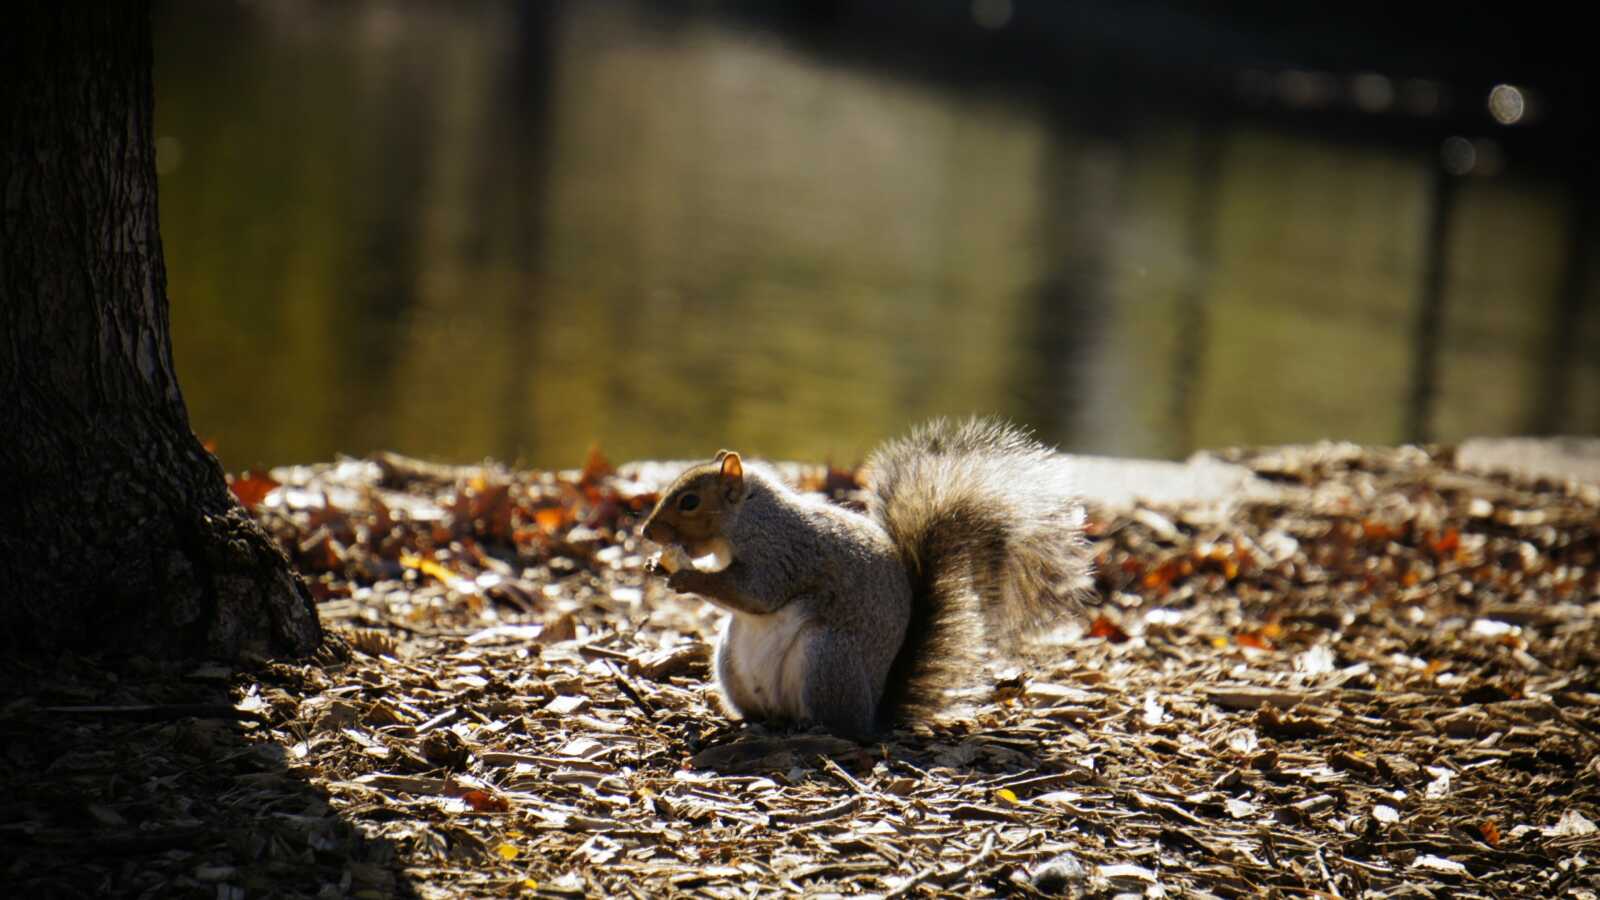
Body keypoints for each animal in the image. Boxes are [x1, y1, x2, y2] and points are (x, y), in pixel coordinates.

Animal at [639, 418, 1093, 737]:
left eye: (689, 501)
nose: (646, 533)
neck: (747, 516)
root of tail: (873, 713)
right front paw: (658, 566)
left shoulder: (780, 552)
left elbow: (755, 594)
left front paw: (687, 577)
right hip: (730, 660)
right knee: (764, 710)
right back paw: (752, 719)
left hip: (827, 657)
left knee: (838, 723)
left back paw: (813, 725)